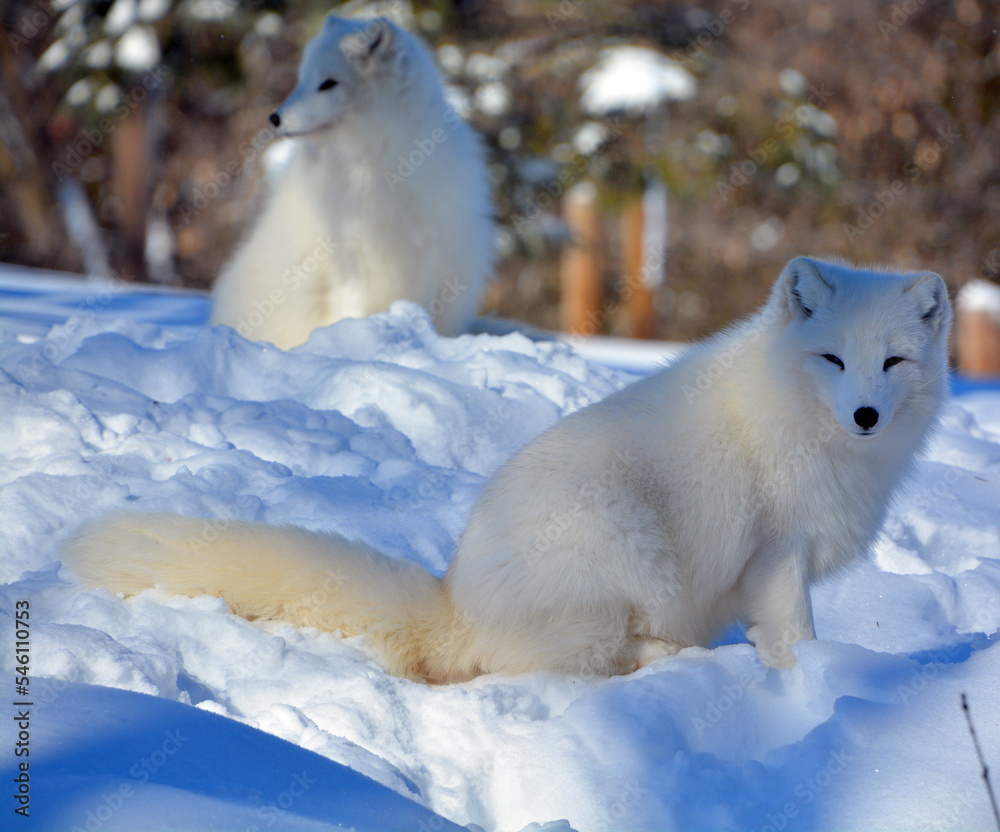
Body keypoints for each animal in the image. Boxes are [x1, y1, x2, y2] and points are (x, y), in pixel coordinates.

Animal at [67, 259, 951, 682]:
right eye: (833, 359)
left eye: (893, 362)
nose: (865, 415)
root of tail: (457, 600)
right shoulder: (776, 556)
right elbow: (796, 635)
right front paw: (816, 682)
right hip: (619, 543)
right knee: (568, 664)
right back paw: (676, 657)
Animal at [210, 15, 494, 349]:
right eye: (302, 78)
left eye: (328, 83)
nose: (274, 118)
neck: (374, 165)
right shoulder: (344, 258)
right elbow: (352, 306)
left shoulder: (427, 255)